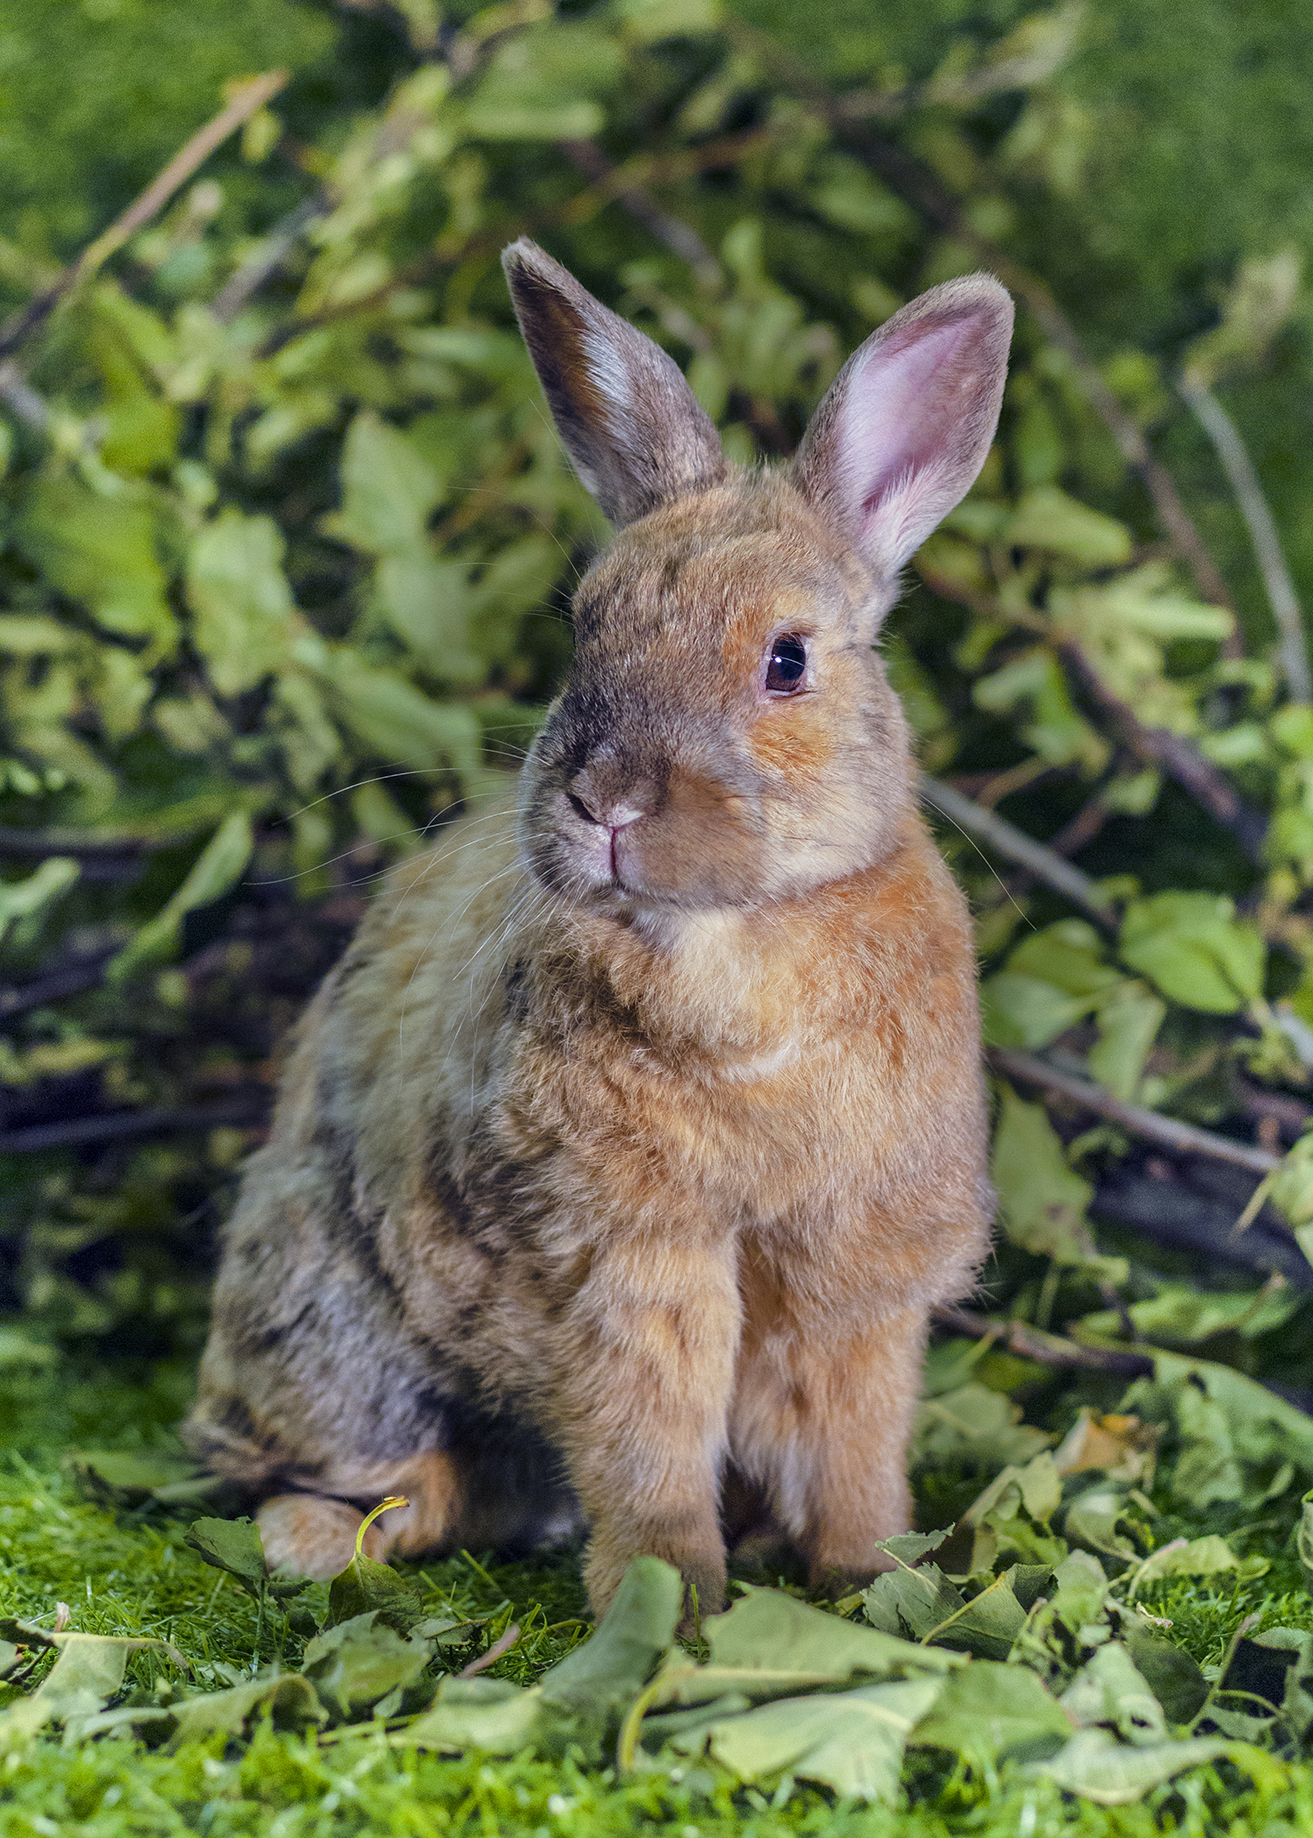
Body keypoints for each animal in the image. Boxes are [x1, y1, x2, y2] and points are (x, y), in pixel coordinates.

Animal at [184, 239, 1013, 1618]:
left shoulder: (853, 1257)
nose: (607, 799)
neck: (733, 944)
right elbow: (648, 1427)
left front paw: (871, 1577)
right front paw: (665, 1596)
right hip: (342, 1340)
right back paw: (308, 1536)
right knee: (398, 1476)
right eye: (586, 624)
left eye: (787, 659)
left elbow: (851, 1425)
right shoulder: (618, 1245)